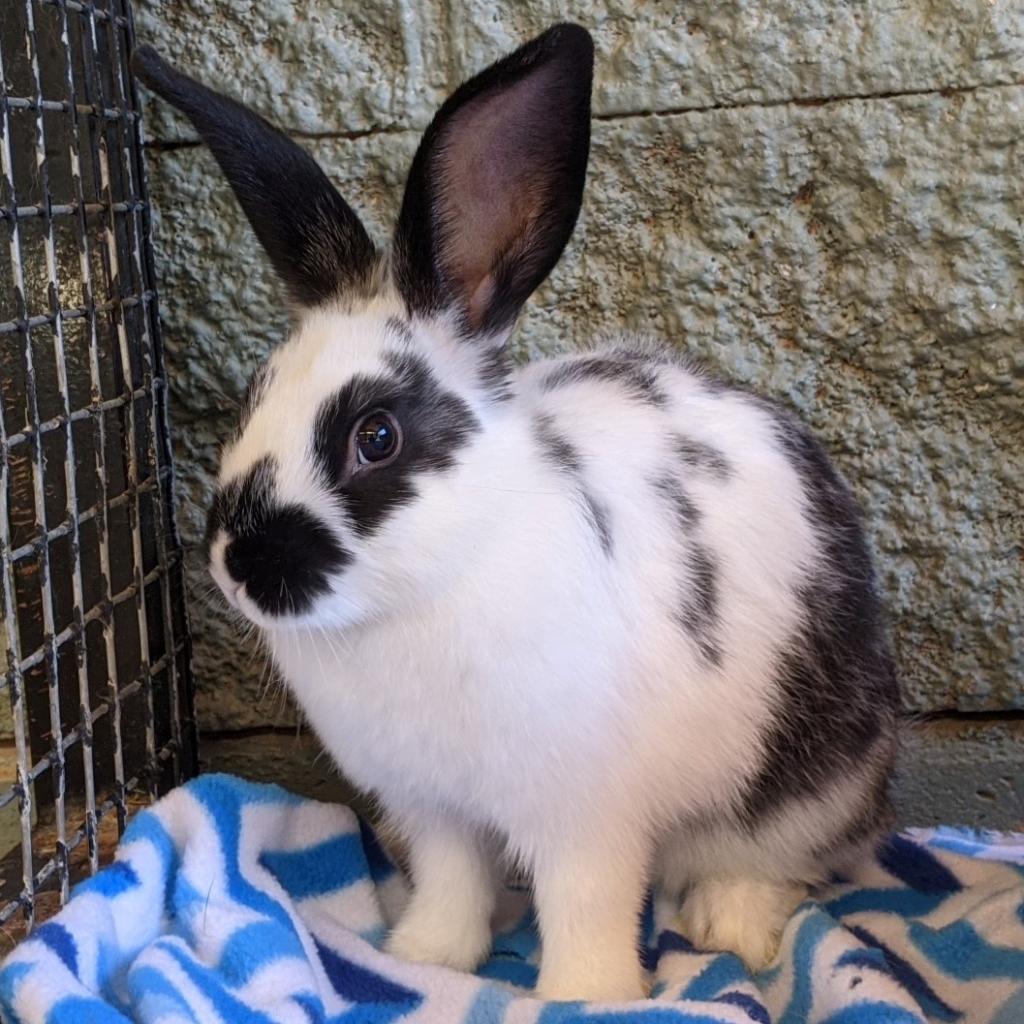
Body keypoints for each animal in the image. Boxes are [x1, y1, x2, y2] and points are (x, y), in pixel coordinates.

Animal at [133, 23, 899, 1003]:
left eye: (376, 437)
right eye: (251, 400)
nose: (238, 562)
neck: (423, 596)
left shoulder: (584, 818)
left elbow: (586, 904)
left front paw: (587, 996)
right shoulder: (431, 806)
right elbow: (451, 881)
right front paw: (424, 958)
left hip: (808, 780)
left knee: (779, 858)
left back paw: (730, 923)